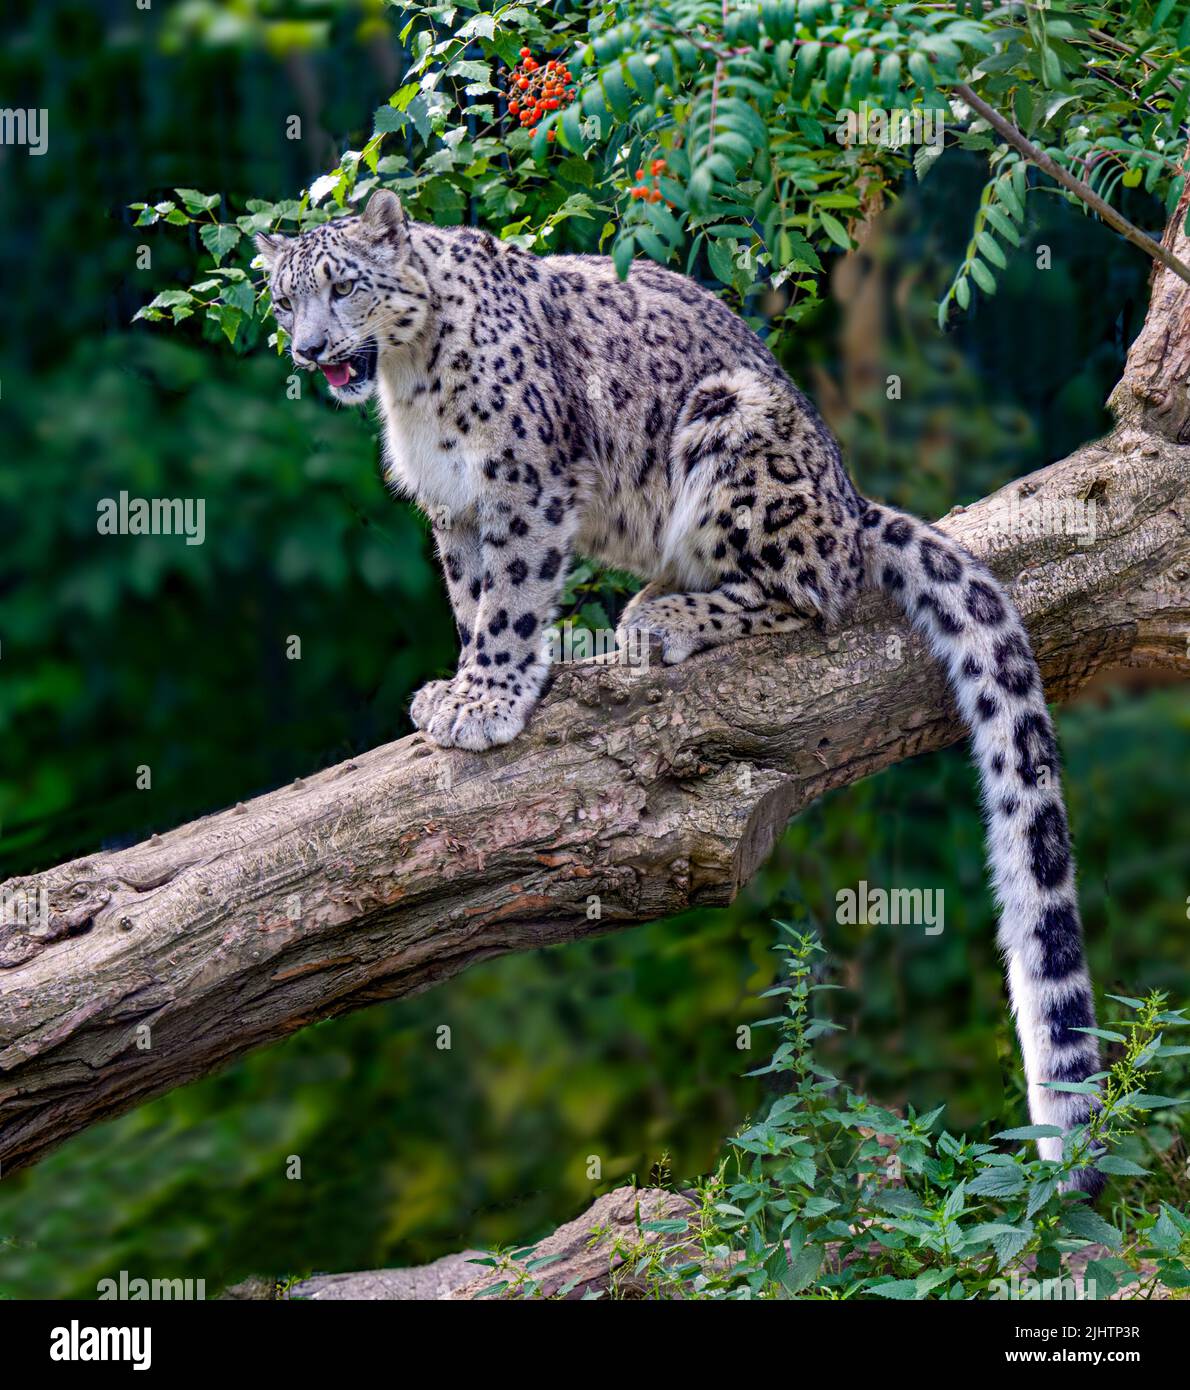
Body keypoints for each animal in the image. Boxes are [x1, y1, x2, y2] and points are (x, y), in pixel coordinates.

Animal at [257, 189, 1102, 1192]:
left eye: (343, 284)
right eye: (283, 299)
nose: (309, 348)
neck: (409, 384)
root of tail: (850, 497)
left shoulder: (525, 485)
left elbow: (511, 598)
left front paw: (488, 699)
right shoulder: (453, 505)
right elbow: (471, 598)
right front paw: (461, 688)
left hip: (733, 432)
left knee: (813, 586)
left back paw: (663, 618)